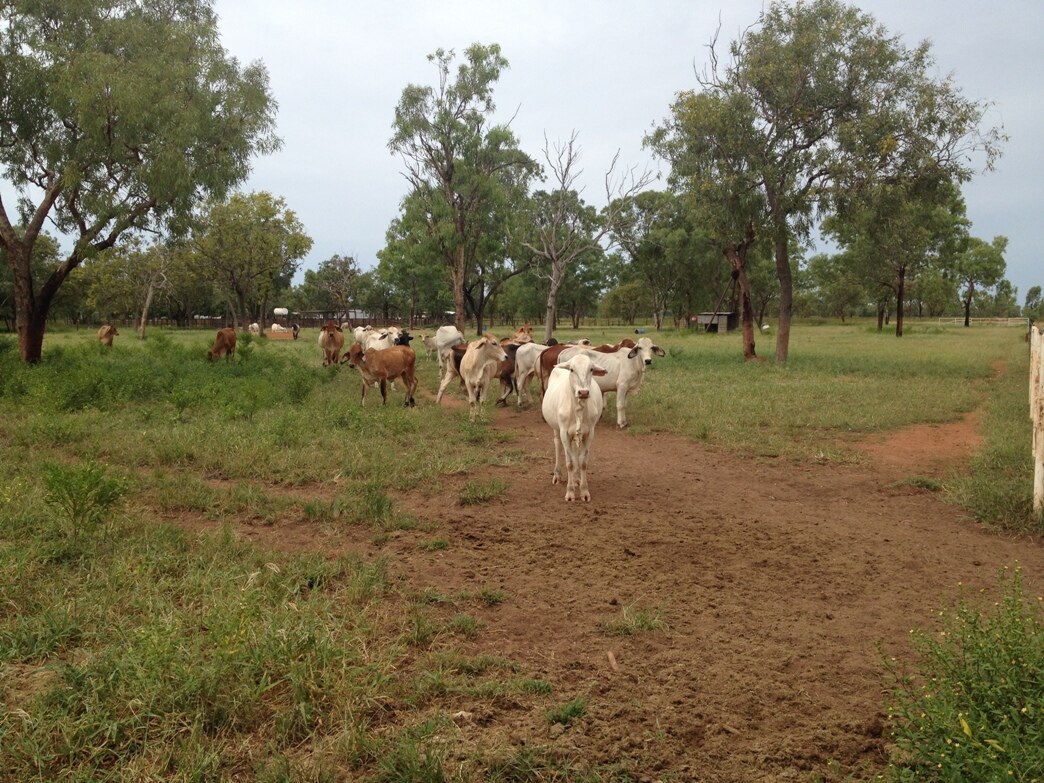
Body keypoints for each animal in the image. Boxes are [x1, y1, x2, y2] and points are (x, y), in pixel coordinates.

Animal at [542, 352, 608, 502]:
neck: (578, 407)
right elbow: (570, 462)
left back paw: (577, 479)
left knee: (575, 451)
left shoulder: (590, 433)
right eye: (572, 369)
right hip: (556, 429)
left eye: (591, 369)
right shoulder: (564, 432)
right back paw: (557, 475)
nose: (583, 392)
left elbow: (582, 461)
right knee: (558, 446)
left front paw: (584, 491)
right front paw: (570, 493)